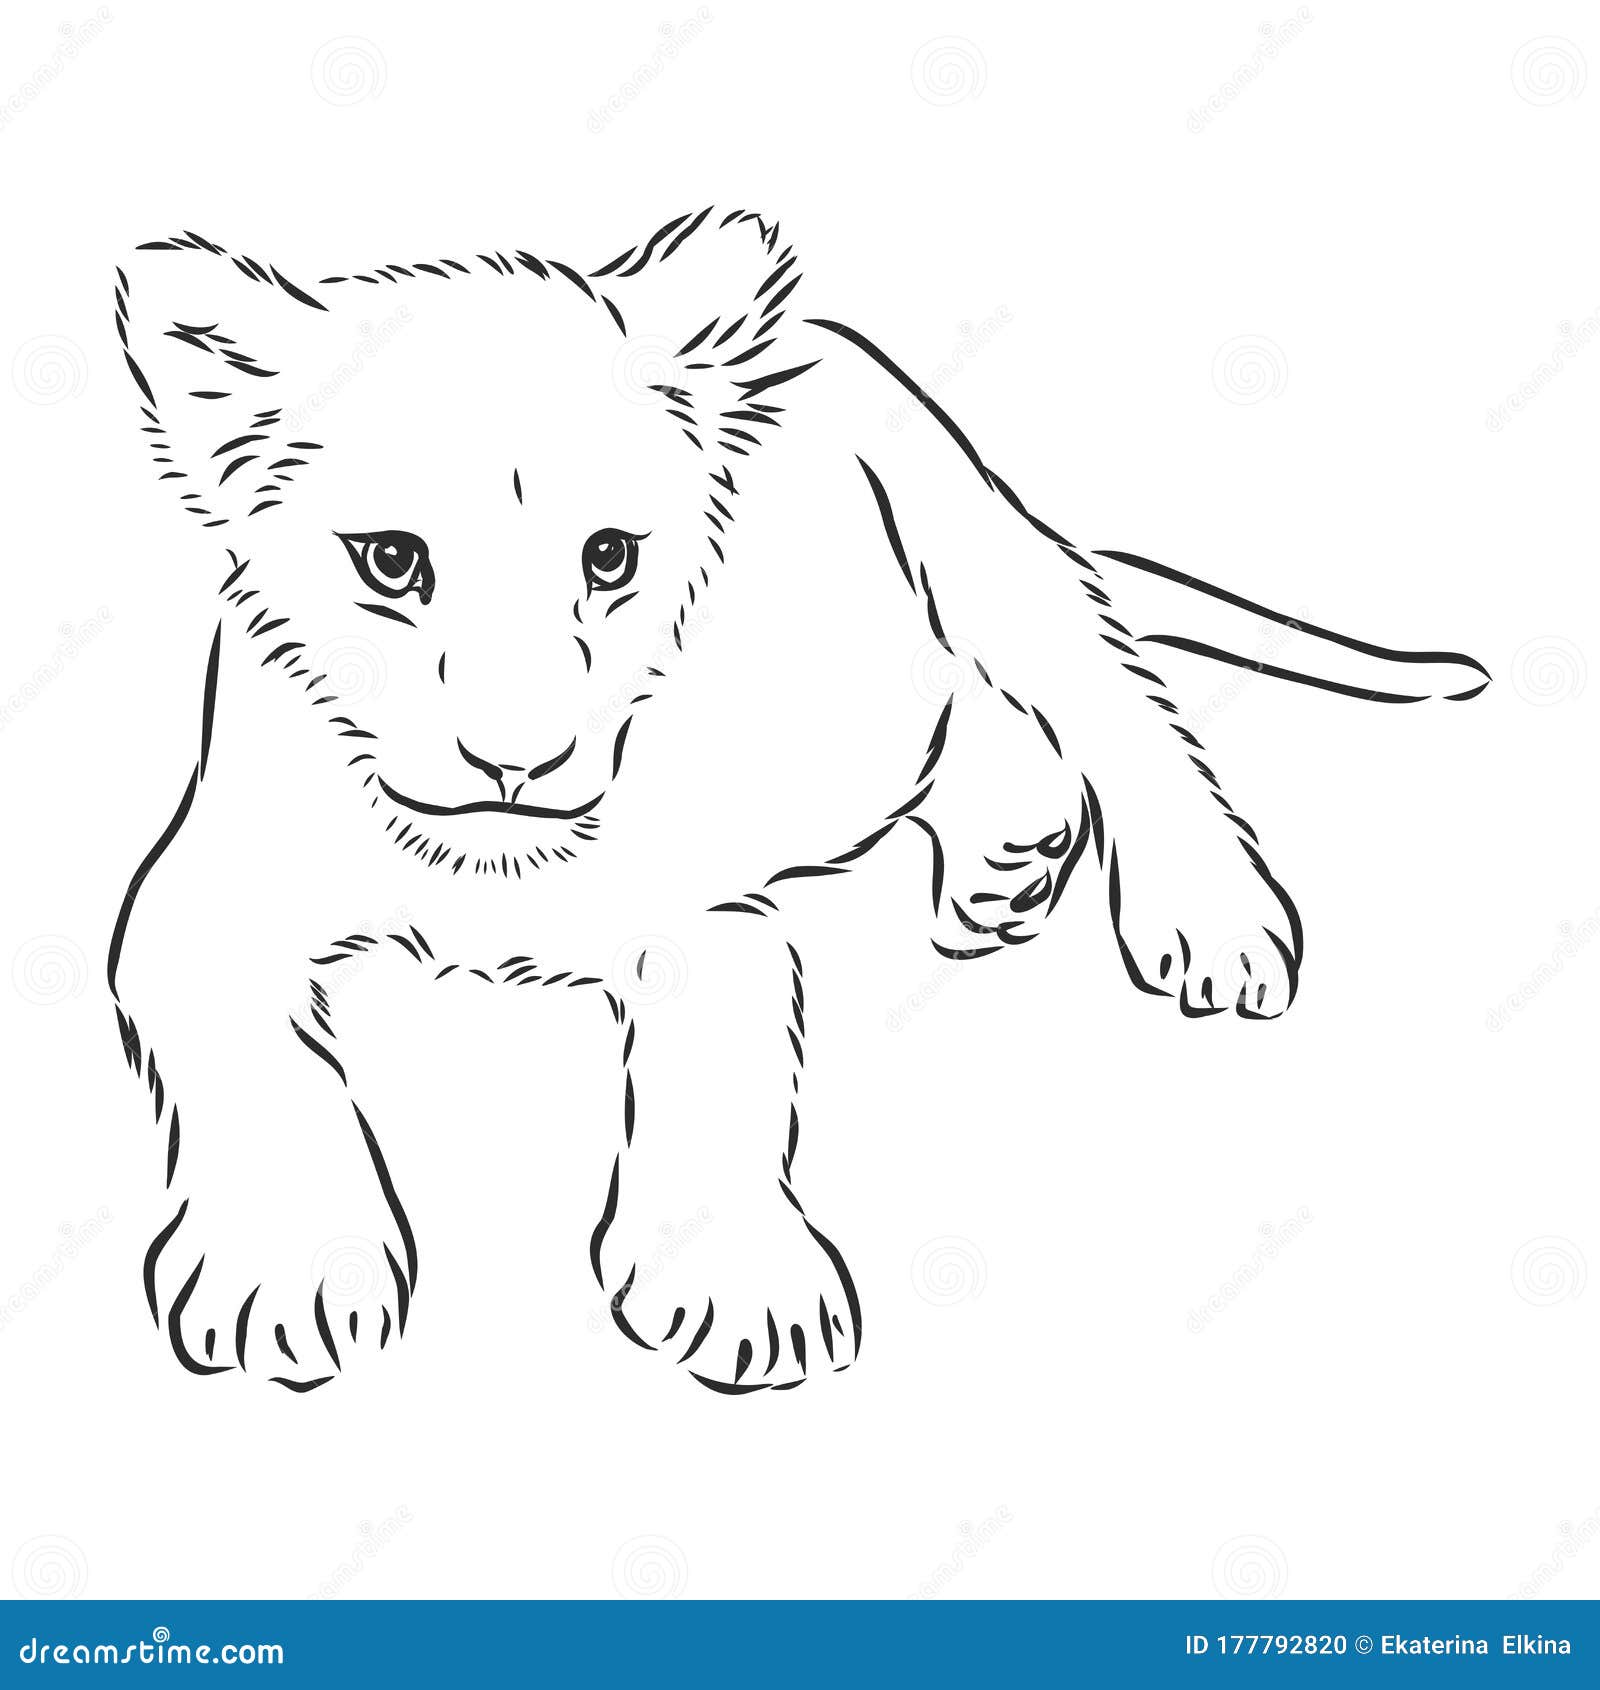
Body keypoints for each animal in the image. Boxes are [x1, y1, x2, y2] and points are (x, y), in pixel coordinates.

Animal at [109, 209, 1487, 1393]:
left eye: (609, 556)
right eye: (391, 561)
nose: (517, 761)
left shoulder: (709, 922)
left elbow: (720, 1081)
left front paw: (742, 1288)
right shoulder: (192, 899)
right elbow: (255, 1060)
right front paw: (289, 1269)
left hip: (977, 534)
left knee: (1110, 704)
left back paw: (1209, 918)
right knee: (959, 719)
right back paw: (1007, 857)